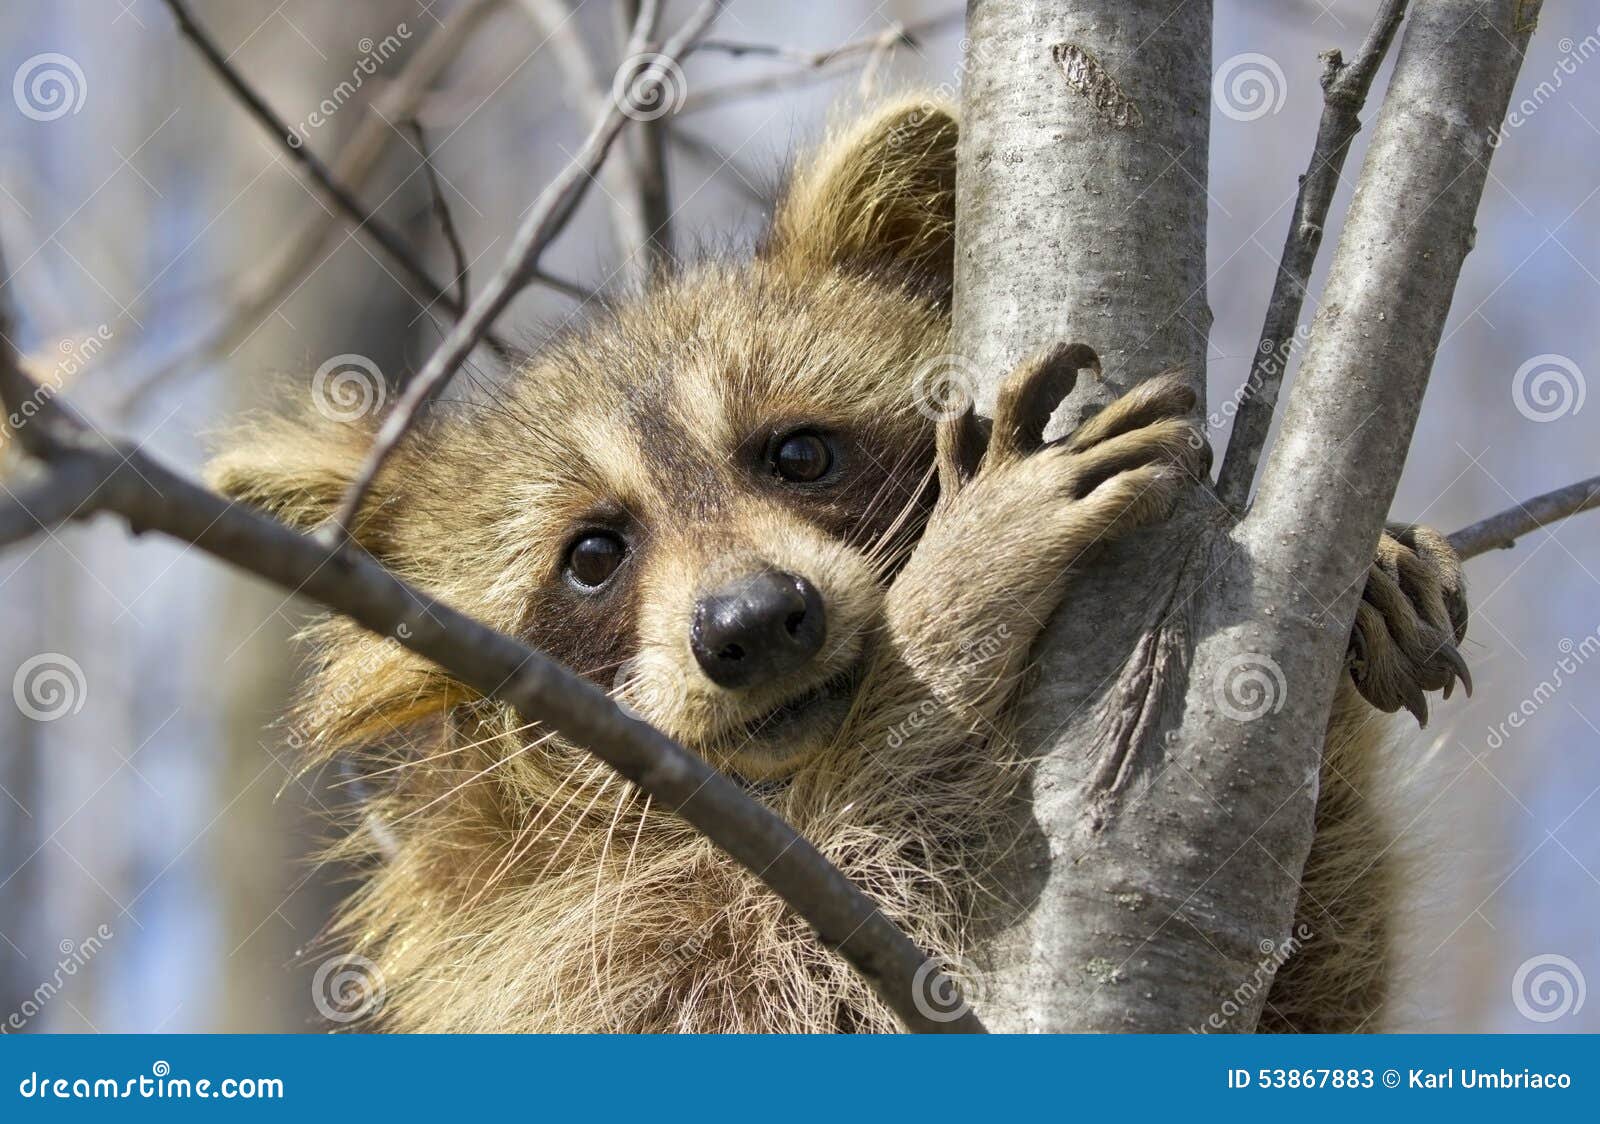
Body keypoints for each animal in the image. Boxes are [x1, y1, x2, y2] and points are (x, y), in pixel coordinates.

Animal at [209, 98, 1468, 1033]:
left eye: (799, 451)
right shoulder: (527, 939)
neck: (776, 780)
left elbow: (1313, 995)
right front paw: (960, 595)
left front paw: (1363, 578)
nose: (755, 621)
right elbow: (744, 982)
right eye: (592, 556)